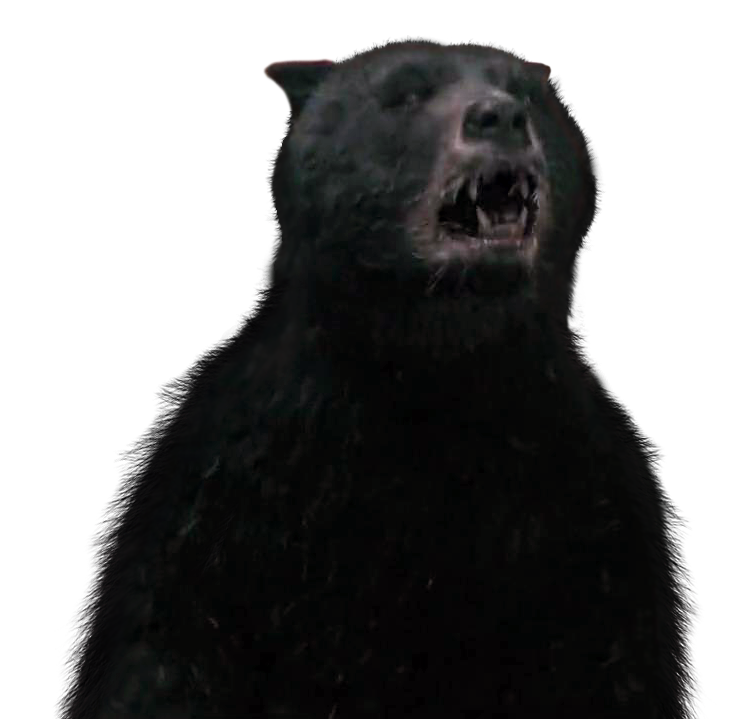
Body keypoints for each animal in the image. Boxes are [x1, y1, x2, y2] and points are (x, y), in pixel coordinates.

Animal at [55, 41, 705, 718]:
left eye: (526, 95)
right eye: (406, 94)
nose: (498, 116)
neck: (429, 365)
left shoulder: (574, 519)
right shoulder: (234, 500)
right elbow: (168, 653)